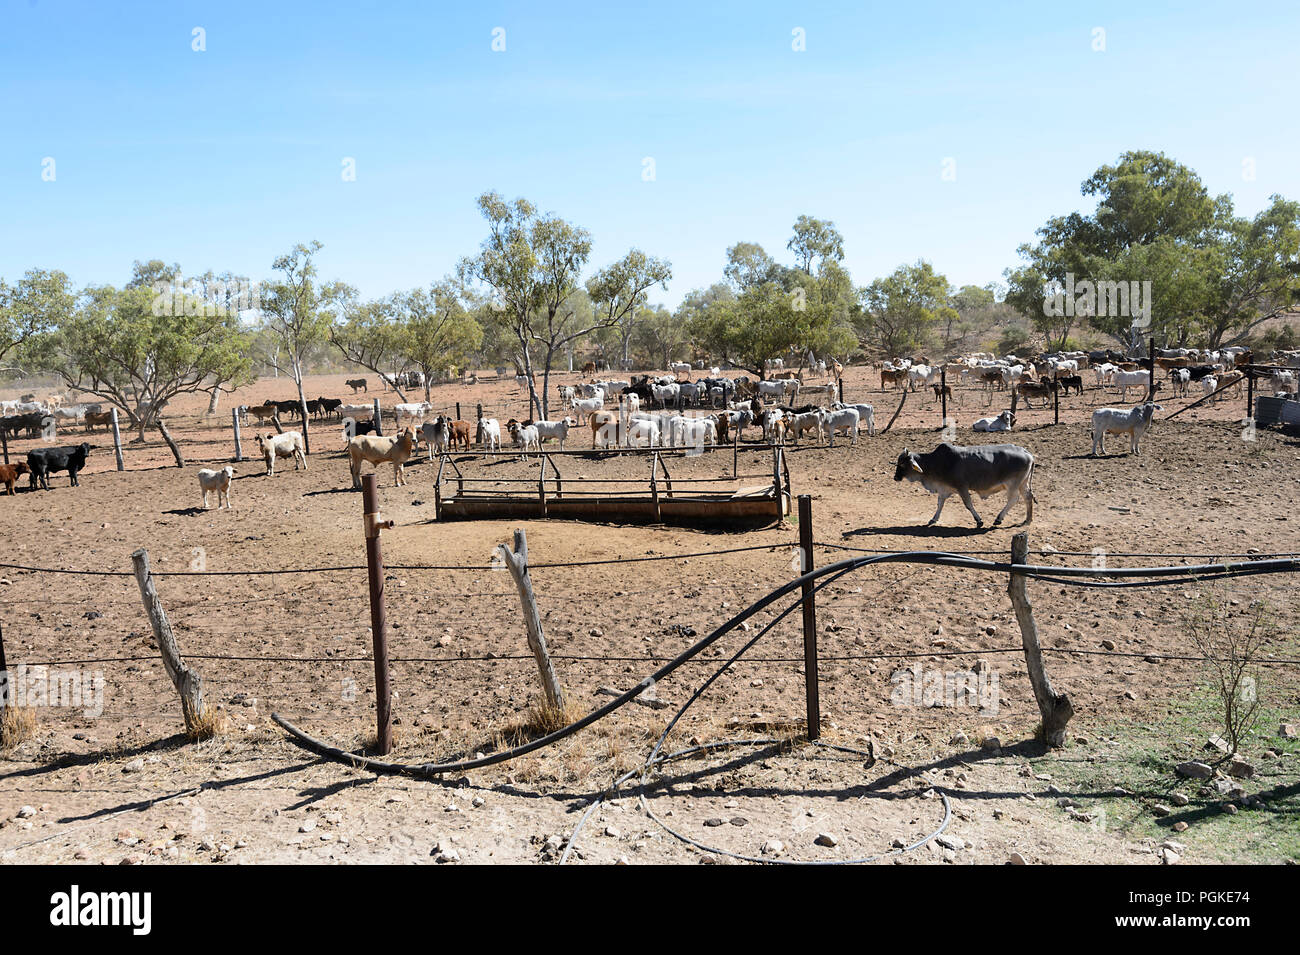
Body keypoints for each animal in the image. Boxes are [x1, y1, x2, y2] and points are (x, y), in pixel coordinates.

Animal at [893, 443, 1035, 528]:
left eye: (902, 464)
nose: (895, 478)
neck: (937, 462)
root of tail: (1027, 453)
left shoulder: (962, 487)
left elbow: (968, 504)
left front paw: (979, 520)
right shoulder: (943, 488)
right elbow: (940, 504)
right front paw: (933, 519)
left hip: (1012, 485)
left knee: (1013, 499)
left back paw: (999, 518)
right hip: (1023, 483)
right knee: (1028, 497)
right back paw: (1027, 520)